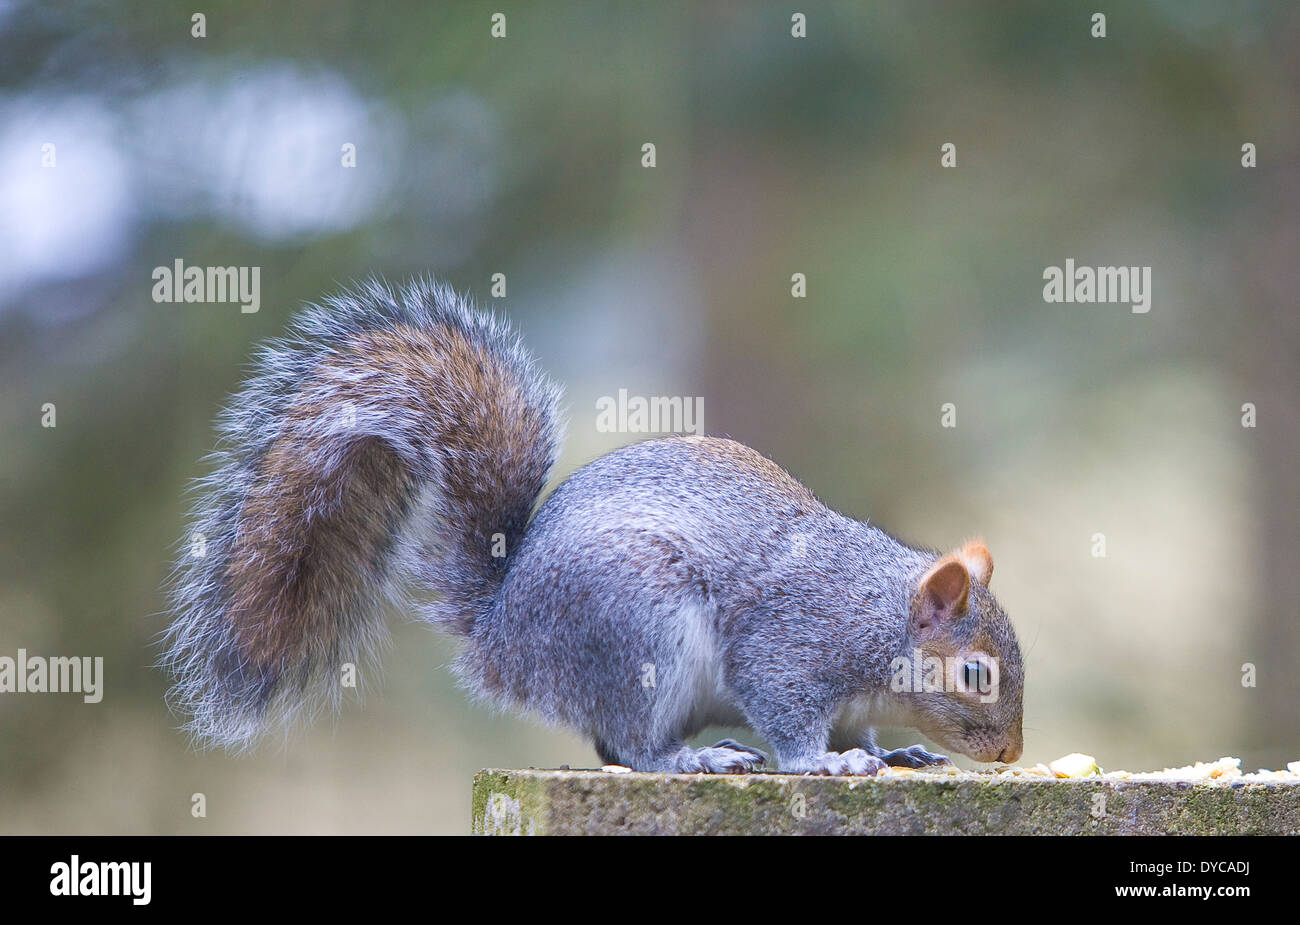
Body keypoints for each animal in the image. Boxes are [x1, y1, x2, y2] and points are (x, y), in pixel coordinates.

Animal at [163, 278, 1024, 775]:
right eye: (977, 674)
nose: (1012, 752)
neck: (876, 611)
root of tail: (501, 634)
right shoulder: (793, 644)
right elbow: (785, 708)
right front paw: (824, 766)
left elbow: (863, 731)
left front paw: (895, 749)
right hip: (637, 626)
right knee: (627, 744)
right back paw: (691, 760)